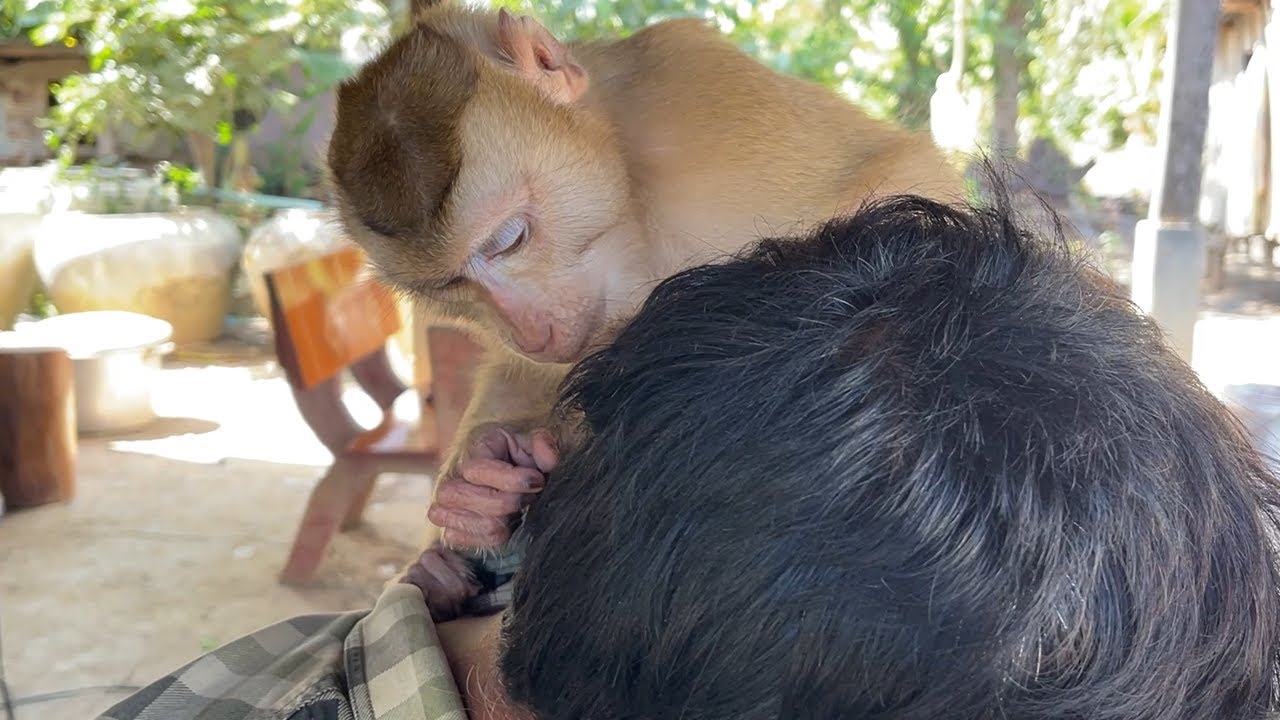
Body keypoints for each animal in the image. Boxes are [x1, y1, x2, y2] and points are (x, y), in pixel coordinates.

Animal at [325, 0, 966, 617]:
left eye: (508, 240)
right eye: (450, 284)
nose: (529, 329)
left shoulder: (704, 110)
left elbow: (891, 176)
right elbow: (525, 373)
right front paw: (480, 484)